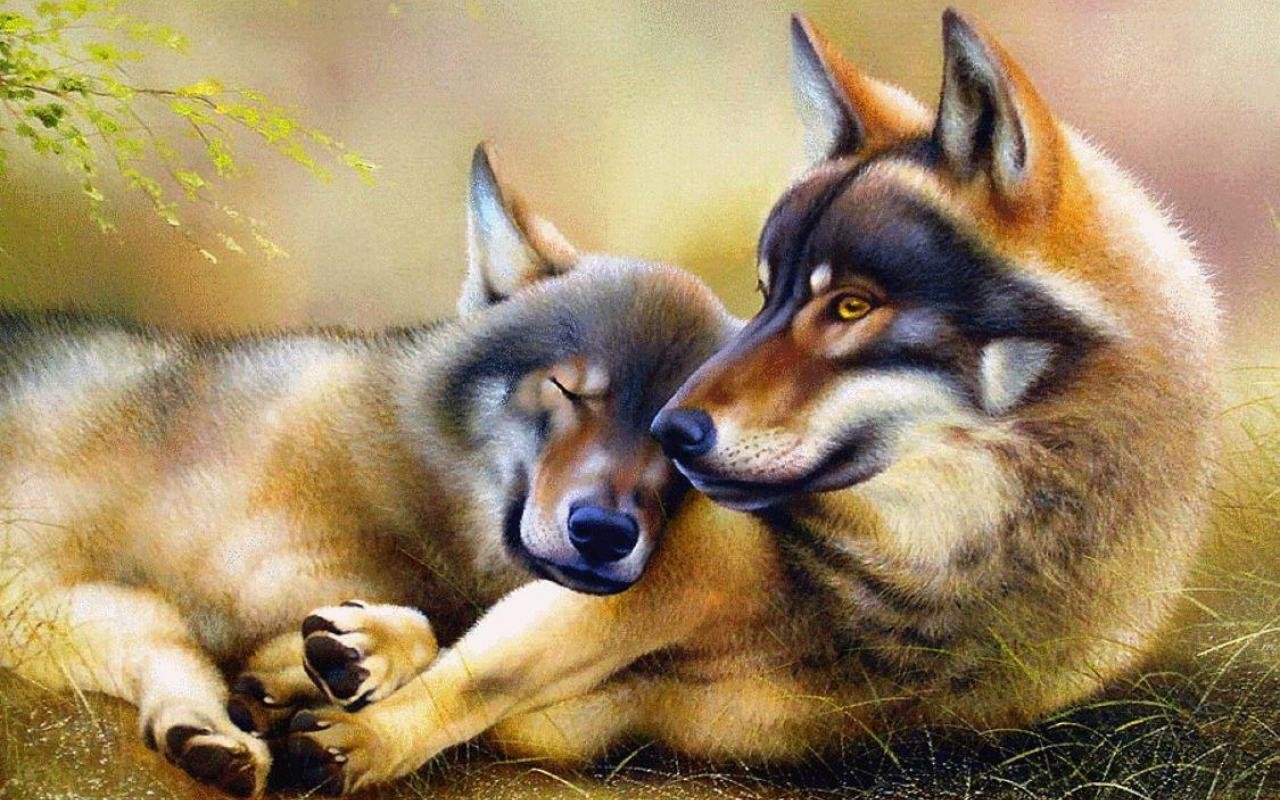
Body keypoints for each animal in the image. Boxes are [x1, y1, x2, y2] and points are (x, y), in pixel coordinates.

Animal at [0, 144, 734, 796]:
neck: (414, 470)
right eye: (570, 391)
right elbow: (176, 636)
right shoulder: (51, 587)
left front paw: (313, 669)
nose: (604, 532)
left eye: (675, 440)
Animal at [281, 10, 1220, 795]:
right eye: (767, 293)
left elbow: (490, 676)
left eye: (850, 306)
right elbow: (477, 669)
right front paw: (357, 729)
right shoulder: (651, 578)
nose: (668, 430)